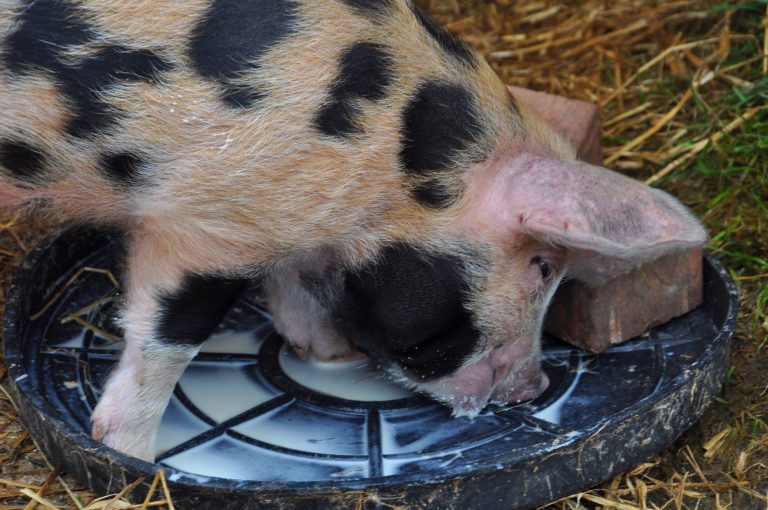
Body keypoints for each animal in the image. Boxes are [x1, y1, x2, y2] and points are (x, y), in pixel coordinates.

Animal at [0, 0, 707, 462]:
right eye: (541, 266)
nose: (535, 388)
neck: (385, 144)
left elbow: (291, 273)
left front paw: (327, 356)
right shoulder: (204, 220)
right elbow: (170, 335)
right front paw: (134, 457)